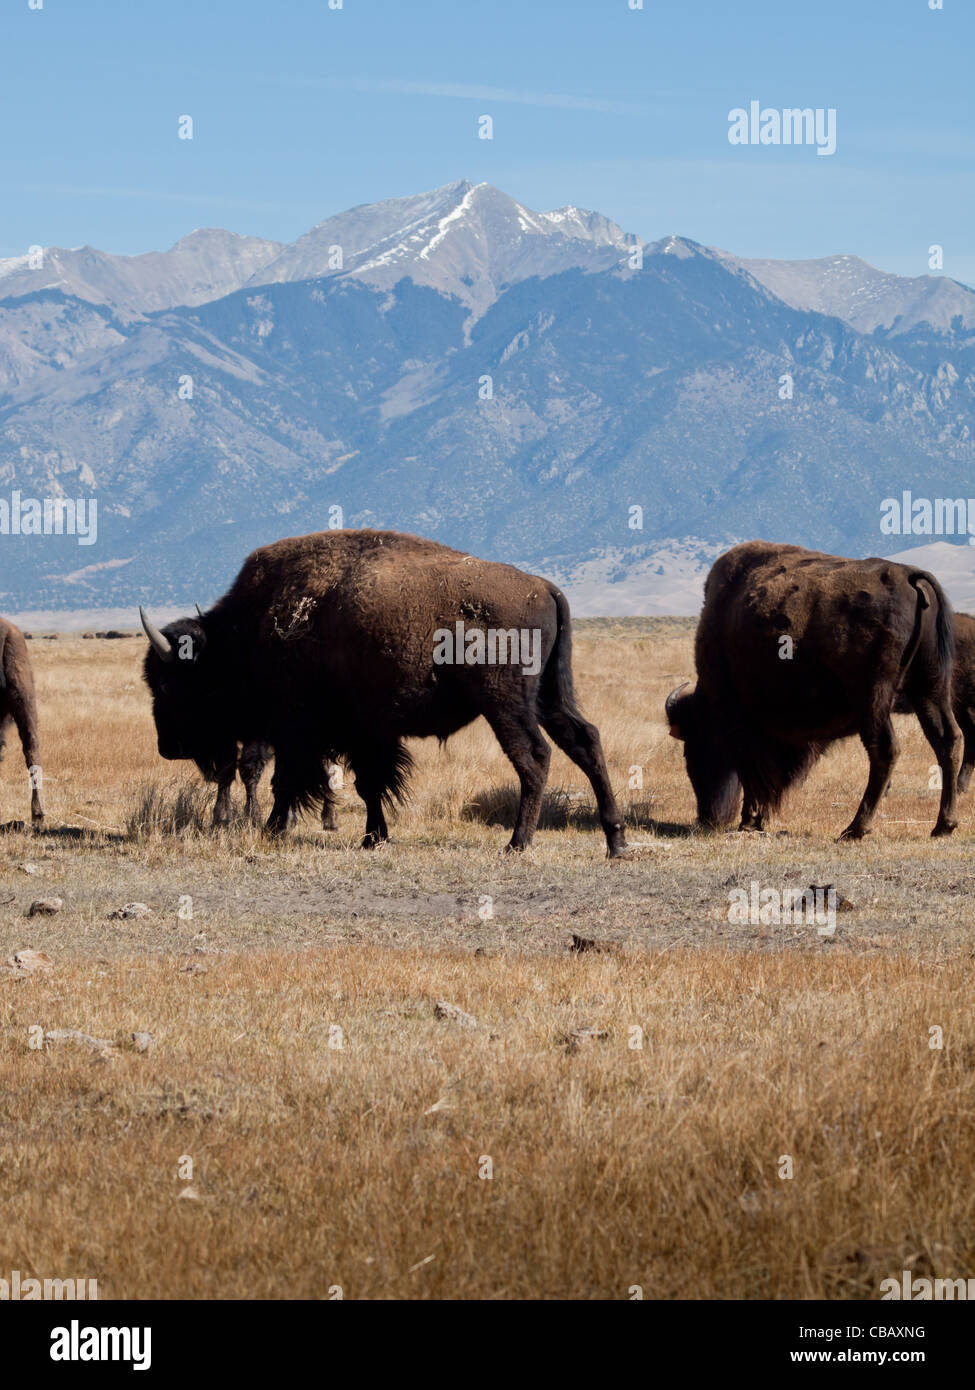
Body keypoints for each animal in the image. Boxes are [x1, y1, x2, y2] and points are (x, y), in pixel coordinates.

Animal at [140, 530, 627, 856]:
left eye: (170, 684)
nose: (166, 746)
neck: (248, 631)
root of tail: (543, 586)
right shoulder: (363, 731)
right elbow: (369, 782)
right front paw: (374, 837)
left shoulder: (298, 728)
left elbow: (291, 781)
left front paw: (274, 829)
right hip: (547, 696)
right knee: (585, 741)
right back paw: (615, 840)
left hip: (505, 703)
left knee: (533, 756)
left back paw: (517, 843)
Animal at [665, 541, 959, 840]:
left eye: (694, 746)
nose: (705, 817)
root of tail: (908, 575)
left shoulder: (743, 725)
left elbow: (753, 773)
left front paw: (750, 821)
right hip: (930, 689)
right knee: (947, 740)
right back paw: (943, 826)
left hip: (873, 700)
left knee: (885, 751)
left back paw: (855, 828)